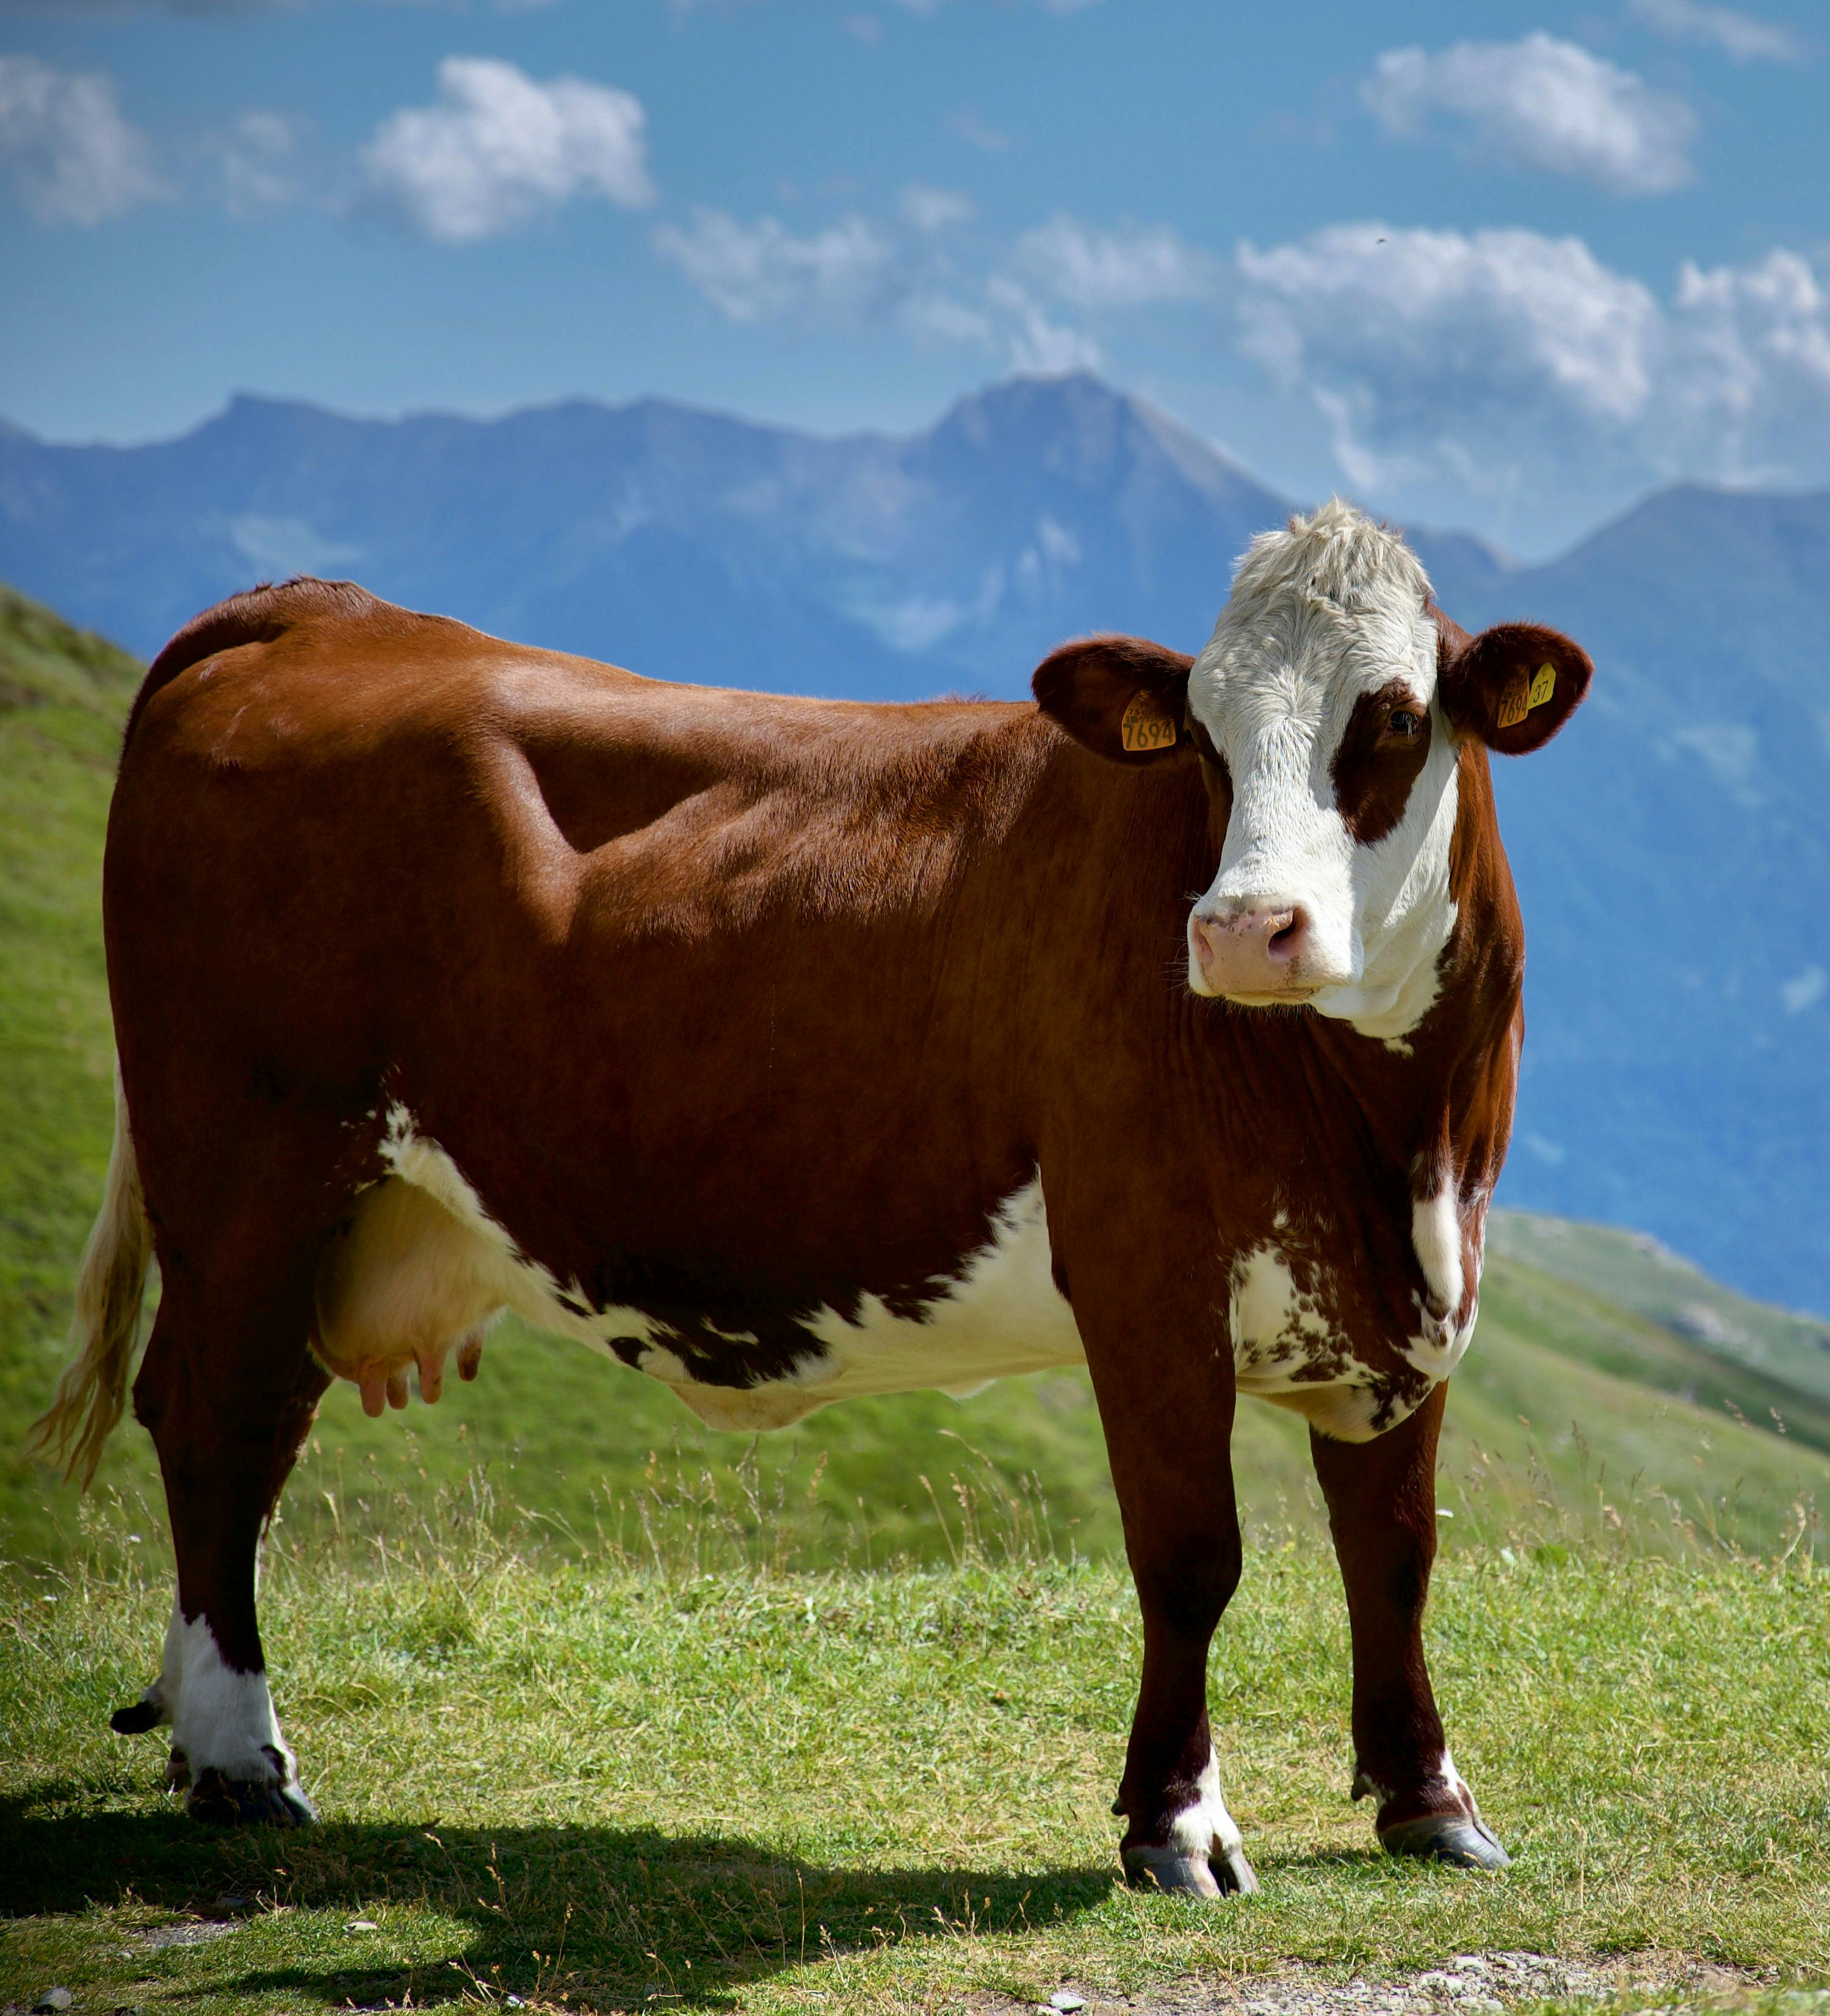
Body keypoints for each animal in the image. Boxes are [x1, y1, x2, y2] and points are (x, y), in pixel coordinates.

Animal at [33, 499, 1590, 1894]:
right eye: (1200, 737)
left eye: (1391, 720)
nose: (1242, 928)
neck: (1393, 1151)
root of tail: (319, 610)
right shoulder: (1145, 1267)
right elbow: (1190, 1550)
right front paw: (1177, 1826)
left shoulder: (1415, 1292)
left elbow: (1394, 1550)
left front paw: (1431, 1801)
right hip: (245, 1154)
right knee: (214, 1418)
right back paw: (238, 1757)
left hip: (326, 1203)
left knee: (251, 1421)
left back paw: (196, 1730)